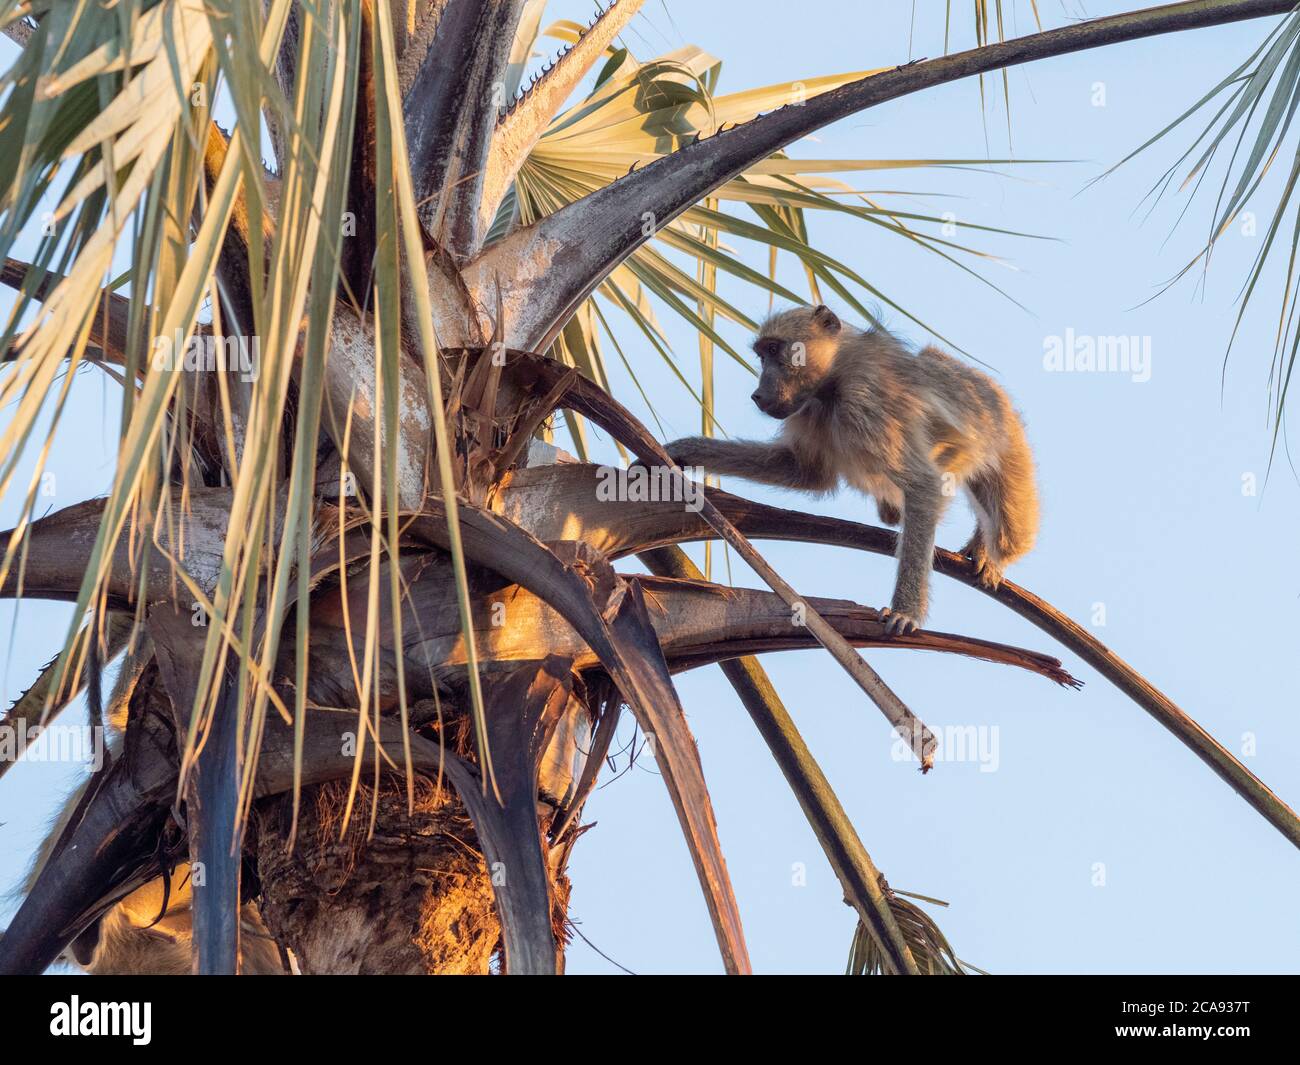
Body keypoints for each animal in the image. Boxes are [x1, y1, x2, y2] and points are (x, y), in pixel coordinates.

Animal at [661, 305, 1039, 635]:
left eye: (774, 349)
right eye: (761, 355)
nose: (757, 395)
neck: (834, 378)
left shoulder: (864, 402)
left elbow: (922, 485)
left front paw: (905, 612)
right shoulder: (808, 410)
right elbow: (805, 473)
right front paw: (686, 452)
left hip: (1007, 440)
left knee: (1008, 530)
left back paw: (990, 552)